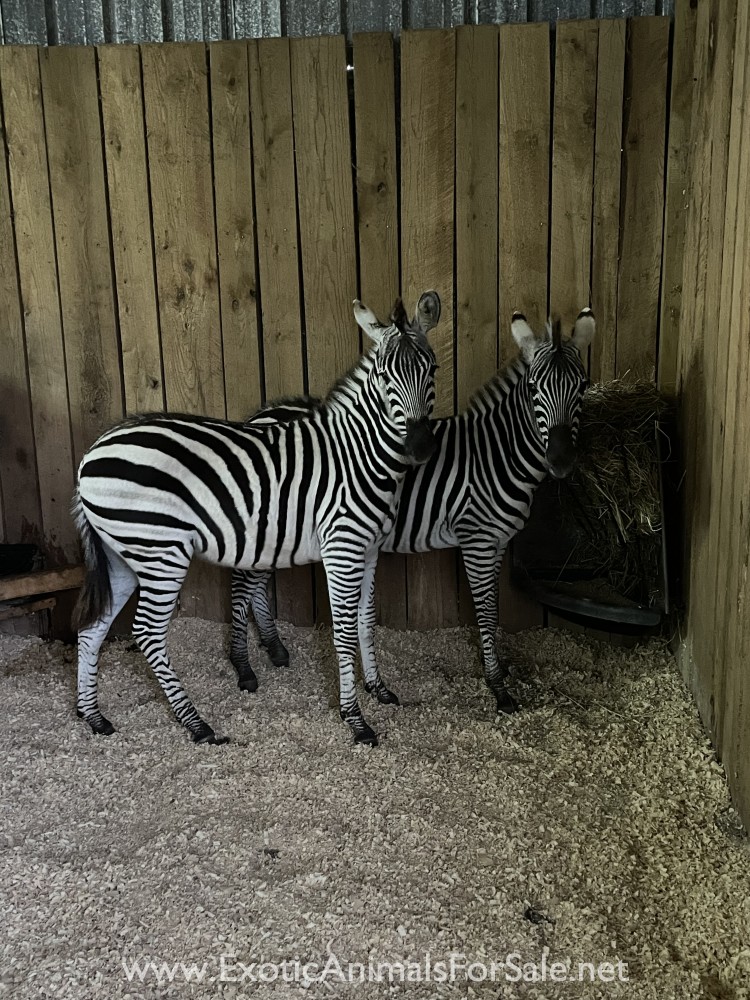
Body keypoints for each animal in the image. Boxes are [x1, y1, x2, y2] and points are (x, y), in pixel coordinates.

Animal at [73, 292, 440, 747]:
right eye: (384, 377)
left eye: (432, 369)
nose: (420, 446)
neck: (358, 454)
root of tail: (91, 453)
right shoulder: (341, 548)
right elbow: (343, 630)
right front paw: (355, 719)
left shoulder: (369, 549)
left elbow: (366, 619)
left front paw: (378, 688)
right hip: (161, 552)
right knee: (147, 633)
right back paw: (196, 724)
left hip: (123, 554)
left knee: (92, 628)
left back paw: (94, 716)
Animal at [231, 308, 595, 715]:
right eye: (534, 389)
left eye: (583, 387)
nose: (561, 461)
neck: (497, 454)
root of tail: (261, 414)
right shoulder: (478, 539)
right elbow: (486, 611)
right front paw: (498, 687)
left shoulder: (499, 541)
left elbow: (493, 607)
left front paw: (499, 671)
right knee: (242, 586)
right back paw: (244, 669)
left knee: (255, 584)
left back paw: (274, 648)